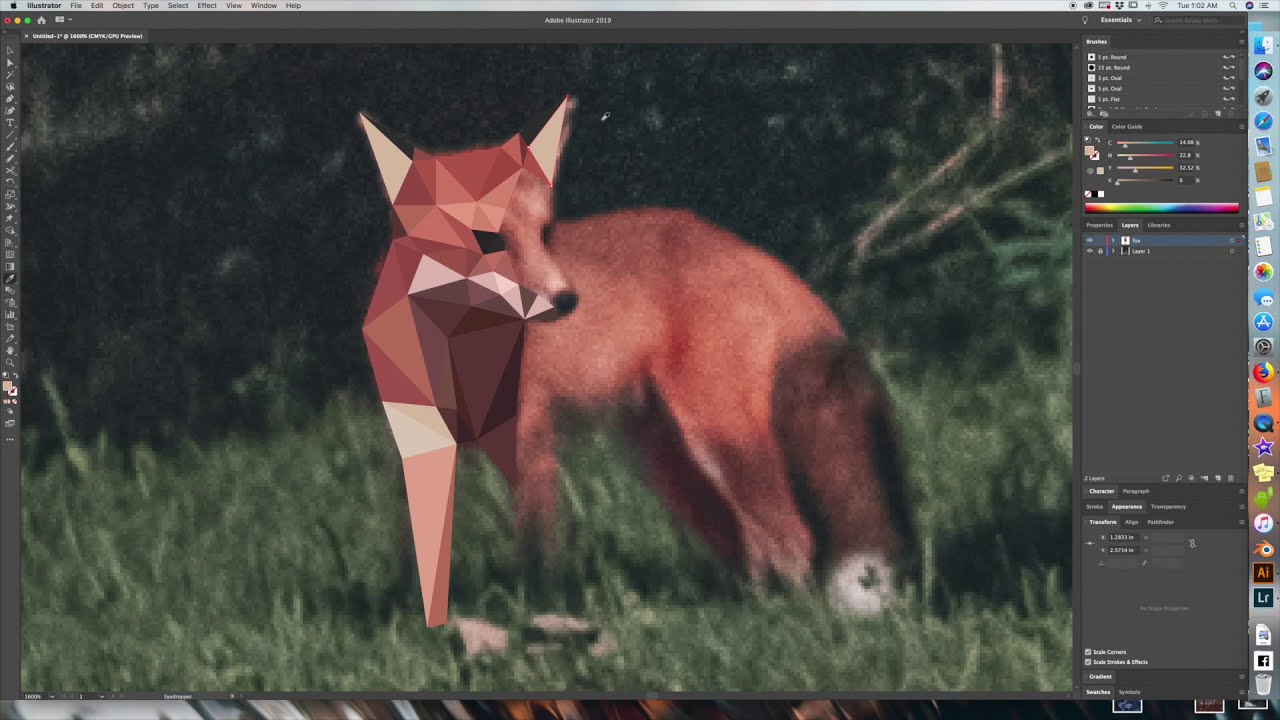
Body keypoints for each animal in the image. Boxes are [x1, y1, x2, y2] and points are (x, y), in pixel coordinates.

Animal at [359, 98, 915, 625]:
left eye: (546, 234)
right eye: (488, 240)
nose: (566, 301)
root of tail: (750, 251)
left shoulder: (531, 440)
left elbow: (536, 555)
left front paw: (538, 616)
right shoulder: (415, 447)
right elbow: (413, 560)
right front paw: (405, 619)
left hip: (719, 443)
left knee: (795, 539)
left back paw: (796, 622)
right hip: (670, 463)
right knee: (755, 544)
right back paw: (743, 611)